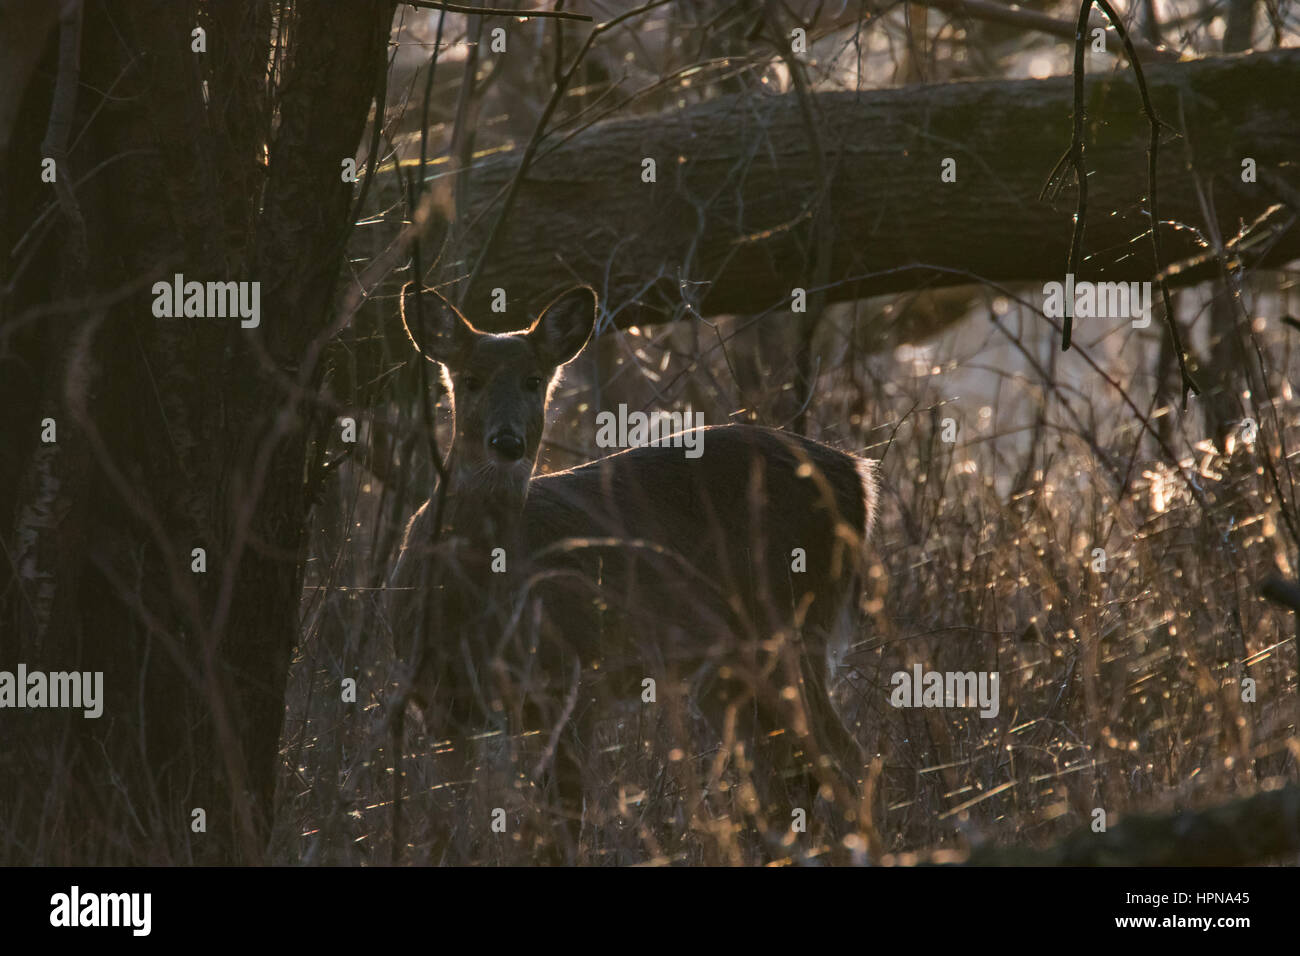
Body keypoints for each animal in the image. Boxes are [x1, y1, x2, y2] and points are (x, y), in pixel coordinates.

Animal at [388, 282, 878, 861]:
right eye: (470, 380)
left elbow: (558, 822)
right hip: (732, 668)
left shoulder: (571, 678)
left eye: (535, 380)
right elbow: (444, 828)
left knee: (844, 759)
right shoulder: (439, 704)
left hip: (790, 627)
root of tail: (858, 475)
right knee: (792, 775)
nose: (506, 443)